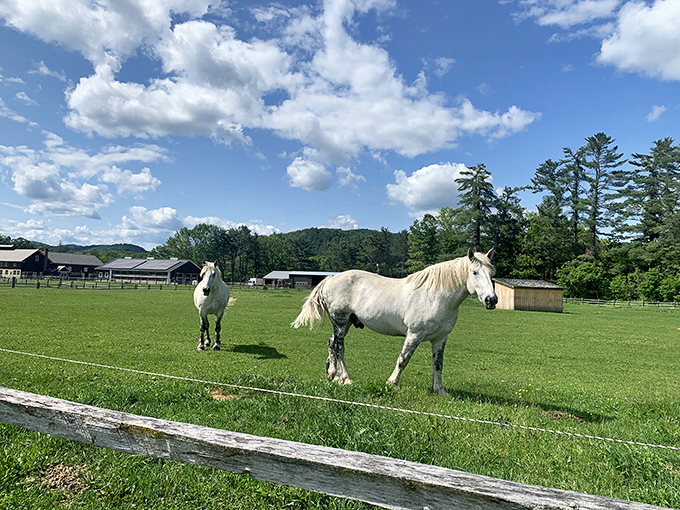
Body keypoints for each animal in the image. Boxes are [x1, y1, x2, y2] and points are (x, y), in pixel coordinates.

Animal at [291, 249, 497, 396]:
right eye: (474, 272)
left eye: (492, 274)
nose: (491, 300)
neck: (435, 296)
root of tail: (331, 279)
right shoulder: (414, 335)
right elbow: (403, 360)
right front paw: (392, 383)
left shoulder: (440, 338)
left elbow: (438, 364)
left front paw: (440, 391)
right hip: (340, 322)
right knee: (339, 348)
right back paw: (346, 379)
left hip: (346, 322)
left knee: (332, 344)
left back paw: (332, 375)